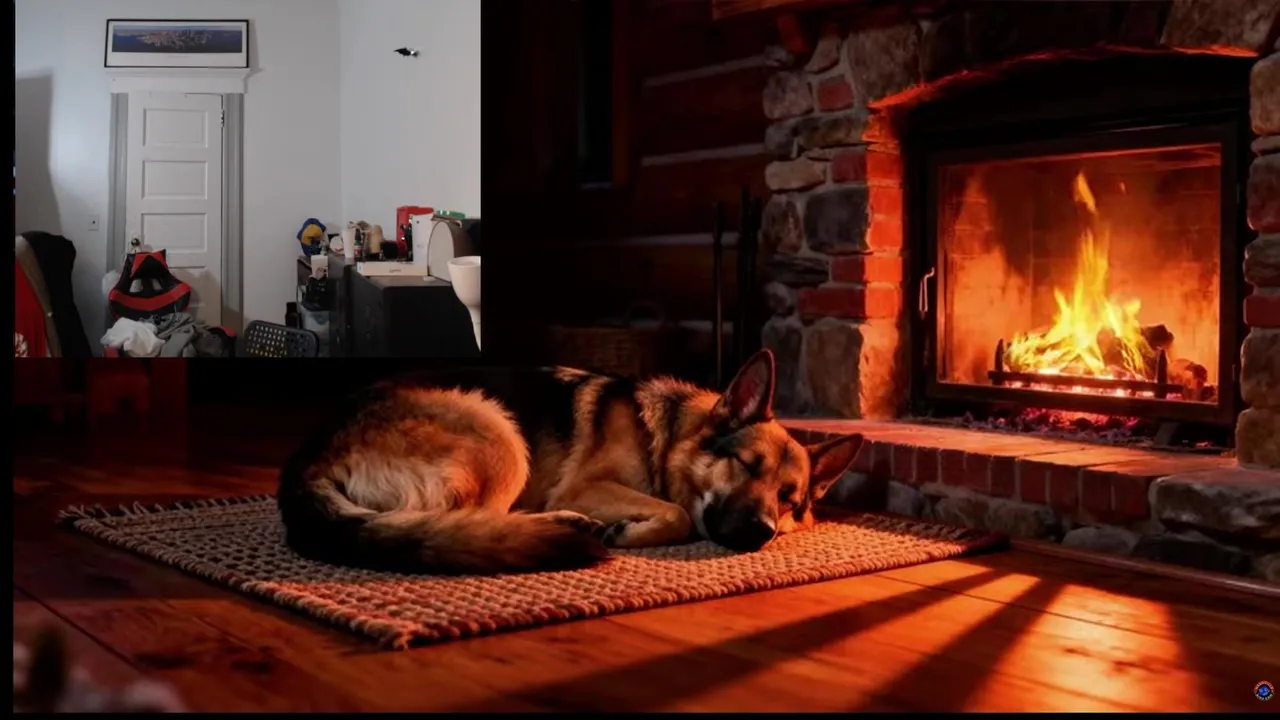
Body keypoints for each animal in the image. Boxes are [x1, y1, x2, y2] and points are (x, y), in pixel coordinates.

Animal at [277, 349, 864, 575]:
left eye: (789, 500)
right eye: (746, 464)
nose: (763, 531)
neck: (666, 438)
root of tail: (308, 456)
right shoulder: (586, 486)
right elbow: (676, 514)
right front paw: (630, 532)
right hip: (498, 432)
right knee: (476, 519)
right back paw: (572, 527)